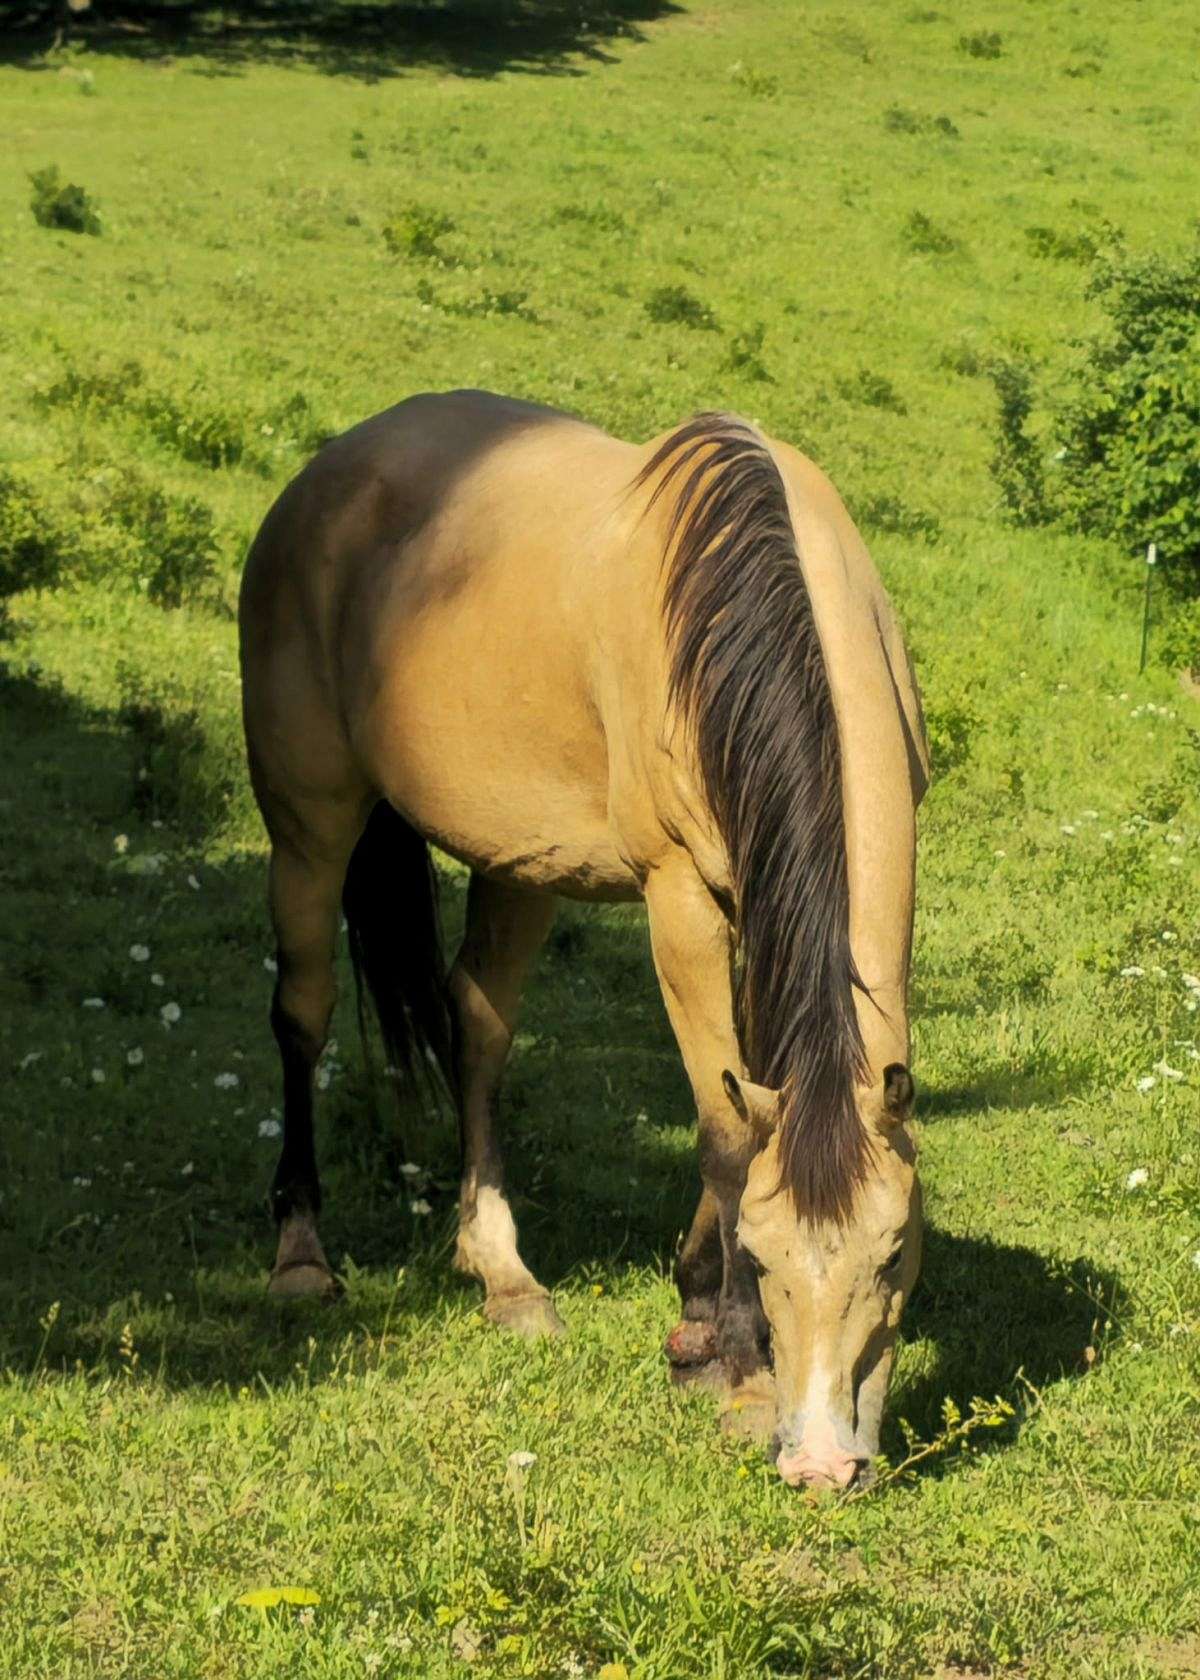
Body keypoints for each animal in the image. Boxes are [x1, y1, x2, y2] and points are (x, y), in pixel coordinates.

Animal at [238, 389, 928, 1491]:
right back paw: (302, 1254)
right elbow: (727, 1131)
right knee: (302, 1016)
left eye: (895, 1252)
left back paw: (503, 1275)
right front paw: (736, 1366)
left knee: (476, 1022)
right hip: (308, 825)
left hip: (519, 861)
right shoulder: (680, 898)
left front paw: (693, 1323)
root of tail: (322, 476)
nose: (822, 1463)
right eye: (769, 1260)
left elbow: (740, 1098)